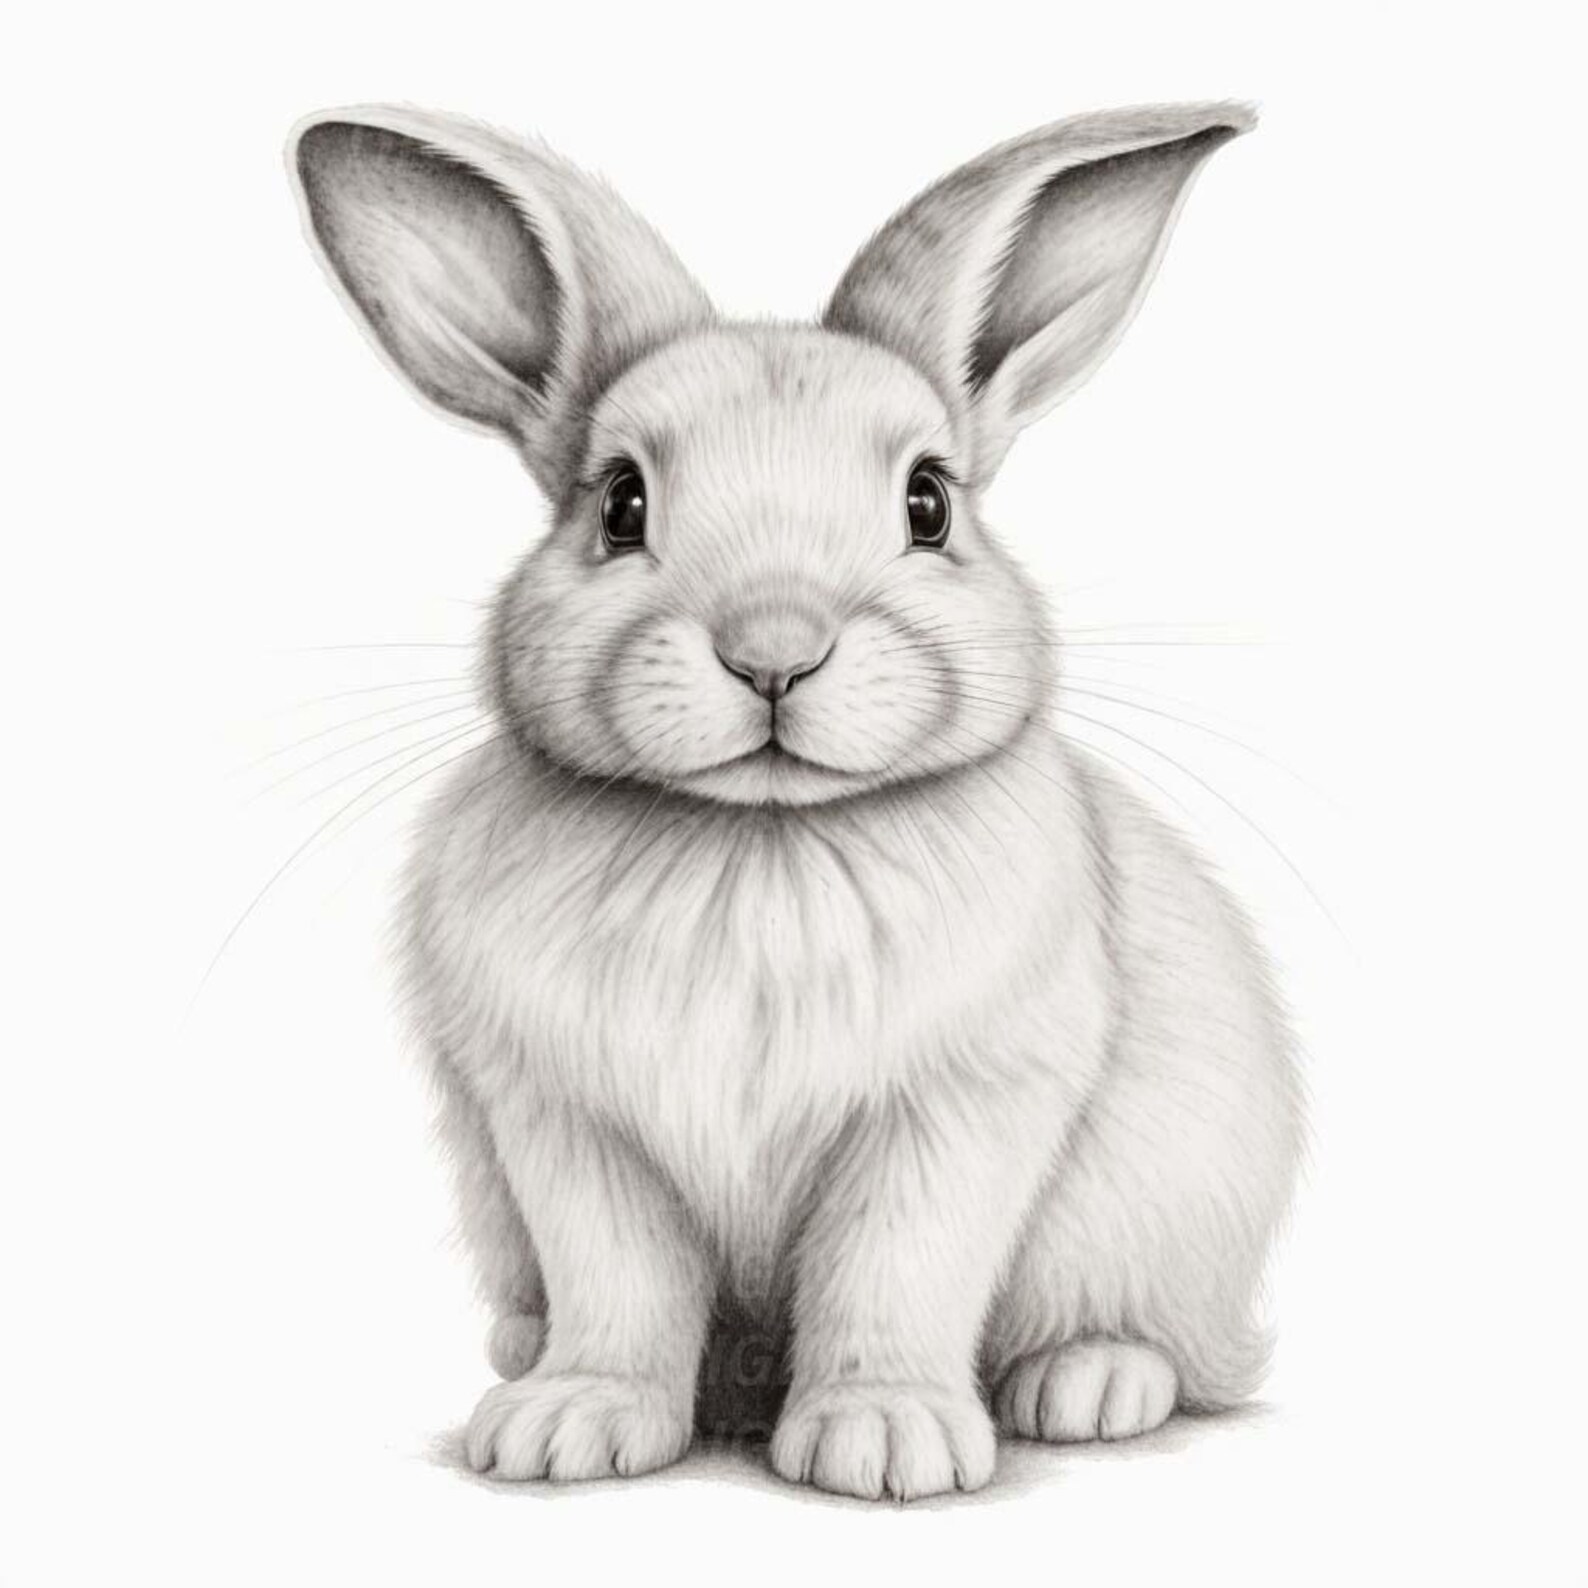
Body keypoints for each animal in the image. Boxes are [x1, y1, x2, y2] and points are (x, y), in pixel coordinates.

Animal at [288, 99, 1303, 1501]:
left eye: (928, 503)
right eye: (621, 502)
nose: (774, 649)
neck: (760, 840)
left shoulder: (955, 1108)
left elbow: (895, 1264)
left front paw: (884, 1439)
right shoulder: (568, 1125)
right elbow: (619, 1280)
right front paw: (571, 1425)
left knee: (1161, 1341)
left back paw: (1088, 1384)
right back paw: (538, 1358)